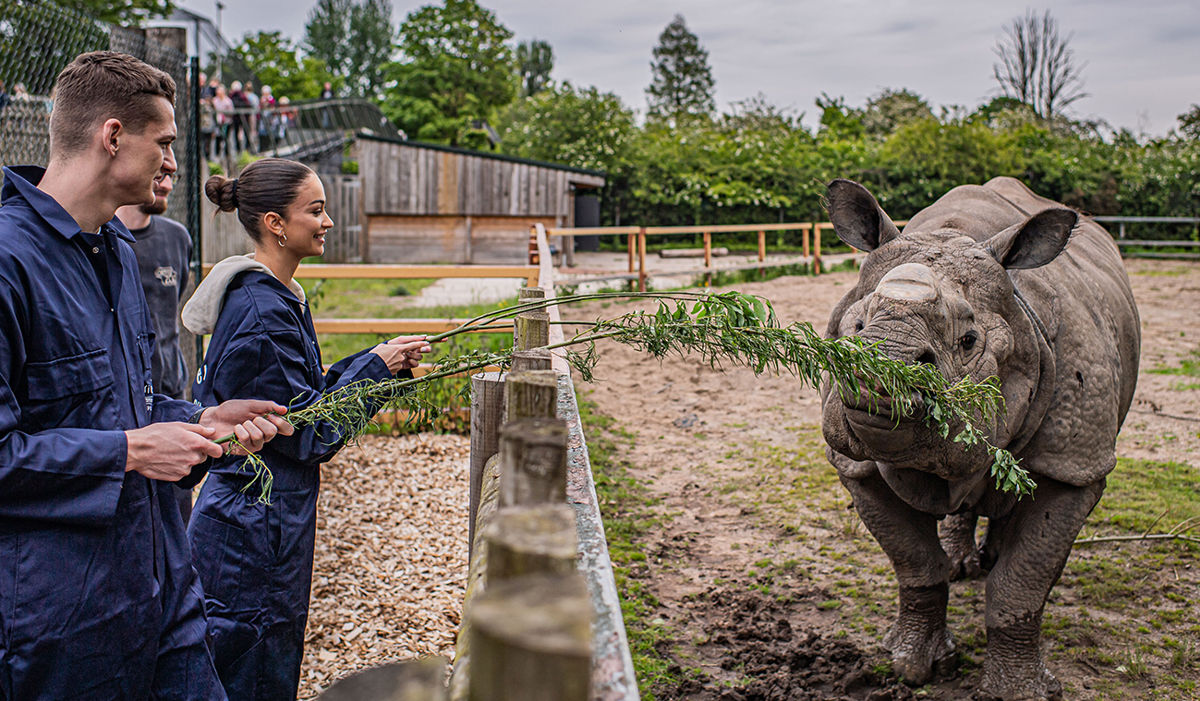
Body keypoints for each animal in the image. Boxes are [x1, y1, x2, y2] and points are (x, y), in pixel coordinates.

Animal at [819, 177, 1140, 700]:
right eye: (858, 325)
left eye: (969, 341)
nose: (877, 381)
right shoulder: (855, 466)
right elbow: (913, 563)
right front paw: (911, 666)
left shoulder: (1074, 466)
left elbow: (1022, 582)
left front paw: (1017, 692)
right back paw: (963, 564)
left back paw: (991, 558)